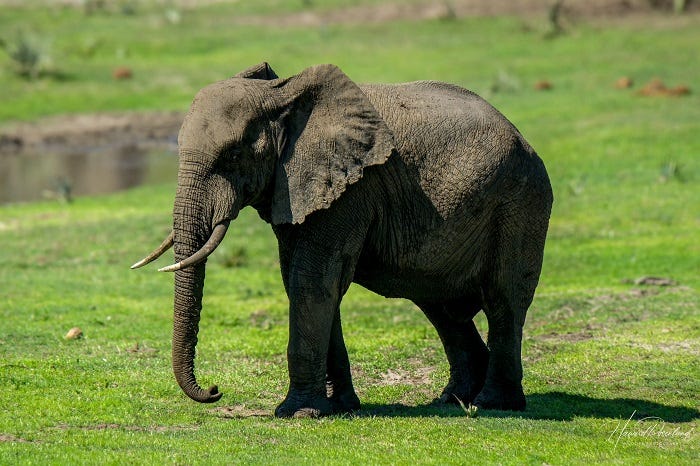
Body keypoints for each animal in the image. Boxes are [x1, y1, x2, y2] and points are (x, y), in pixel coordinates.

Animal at [132, 62, 553, 418]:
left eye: (234, 155)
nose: (215, 390)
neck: (283, 97)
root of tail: (523, 137)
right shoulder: (297, 187)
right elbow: (308, 283)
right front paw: (339, 408)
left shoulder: (352, 190)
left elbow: (311, 281)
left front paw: (297, 413)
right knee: (440, 305)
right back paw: (453, 400)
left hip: (520, 202)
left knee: (503, 300)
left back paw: (494, 404)